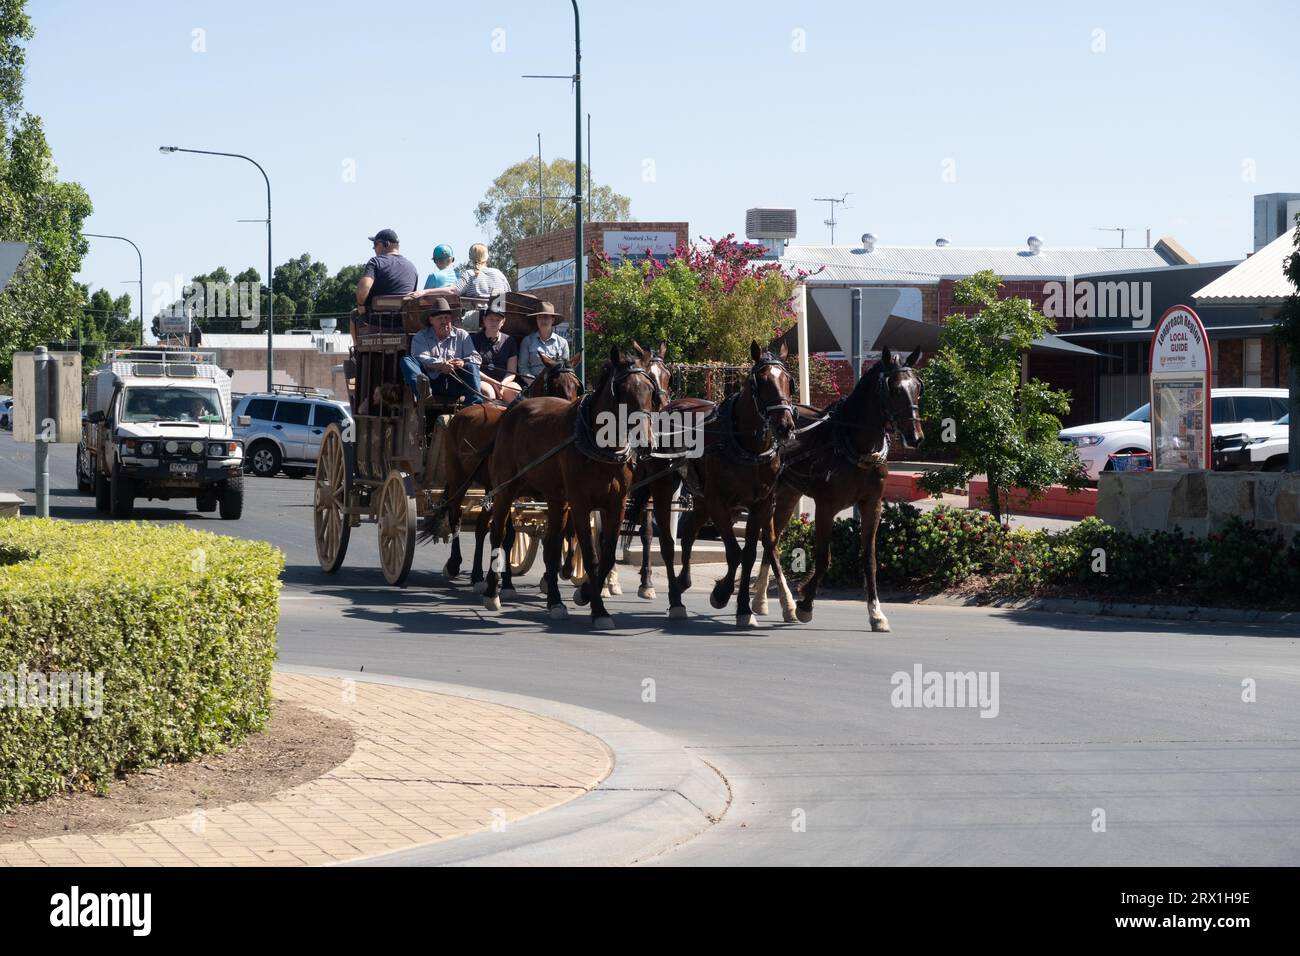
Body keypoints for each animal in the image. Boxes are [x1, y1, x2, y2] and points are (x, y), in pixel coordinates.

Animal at [432, 351, 582, 596]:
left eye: (577, 386)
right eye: (555, 386)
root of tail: (465, 410)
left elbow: (562, 530)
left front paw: (562, 570)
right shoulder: (511, 490)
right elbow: (509, 535)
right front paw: (507, 582)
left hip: (489, 486)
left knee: (481, 527)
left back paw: (476, 575)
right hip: (459, 477)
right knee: (456, 515)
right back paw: (454, 564)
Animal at [481, 344, 663, 628]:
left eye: (649, 389)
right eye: (623, 391)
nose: (646, 441)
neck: (601, 446)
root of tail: (511, 412)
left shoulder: (616, 504)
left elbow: (607, 554)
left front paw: (586, 593)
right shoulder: (580, 504)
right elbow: (590, 554)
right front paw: (599, 609)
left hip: (556, 499)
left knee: (552, 545)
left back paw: (555, 601)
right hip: (506, 491)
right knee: (500, 535)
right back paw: (493, 591)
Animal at [659, 341, 798, 626]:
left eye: (788, 381)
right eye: (761, 382)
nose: (784, 426)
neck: (747, 446)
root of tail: (673, 403)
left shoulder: (760, 504)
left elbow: (749, 555)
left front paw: (744, 607)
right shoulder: (719, 503)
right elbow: (734, 553)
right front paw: (722, 593)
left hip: (702, 499)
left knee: (688, 532)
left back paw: (683, 581)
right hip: (669, 487)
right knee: (667, 544)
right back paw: (675, 599)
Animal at [753, 346, 924, 630]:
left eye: (918, 387)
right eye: (895, 389)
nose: (916, 437)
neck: (854, 443)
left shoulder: (872, 505)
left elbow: (870, 560)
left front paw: (876, 613)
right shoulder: (825, 507)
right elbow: (824, 559)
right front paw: (805, 603)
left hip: (789, 494)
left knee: (772, 540)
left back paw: (761, 600)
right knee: (768, 539)